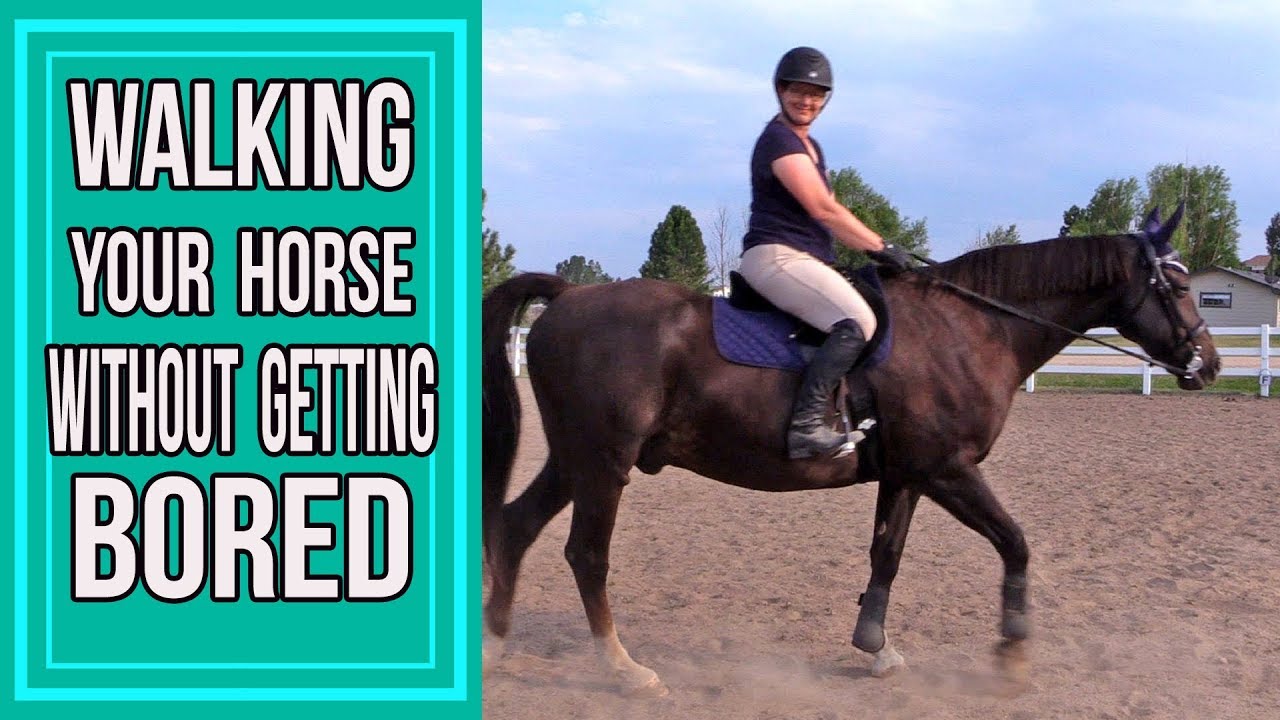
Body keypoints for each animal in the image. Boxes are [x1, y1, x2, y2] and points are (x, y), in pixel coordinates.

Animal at [480, 206, 1219, 695]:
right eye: (1180, 287)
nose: (1208, 364)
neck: (969, 328)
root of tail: (571, 295)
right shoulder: (949, 470)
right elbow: (1015, 543)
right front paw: (1012, 650)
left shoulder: (908, 475)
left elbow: (886, 555)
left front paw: (875, 648)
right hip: (604, 465)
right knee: (586, 555)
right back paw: (623, 669)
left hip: (576, 462)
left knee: (515, 527)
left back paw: (493, 645)